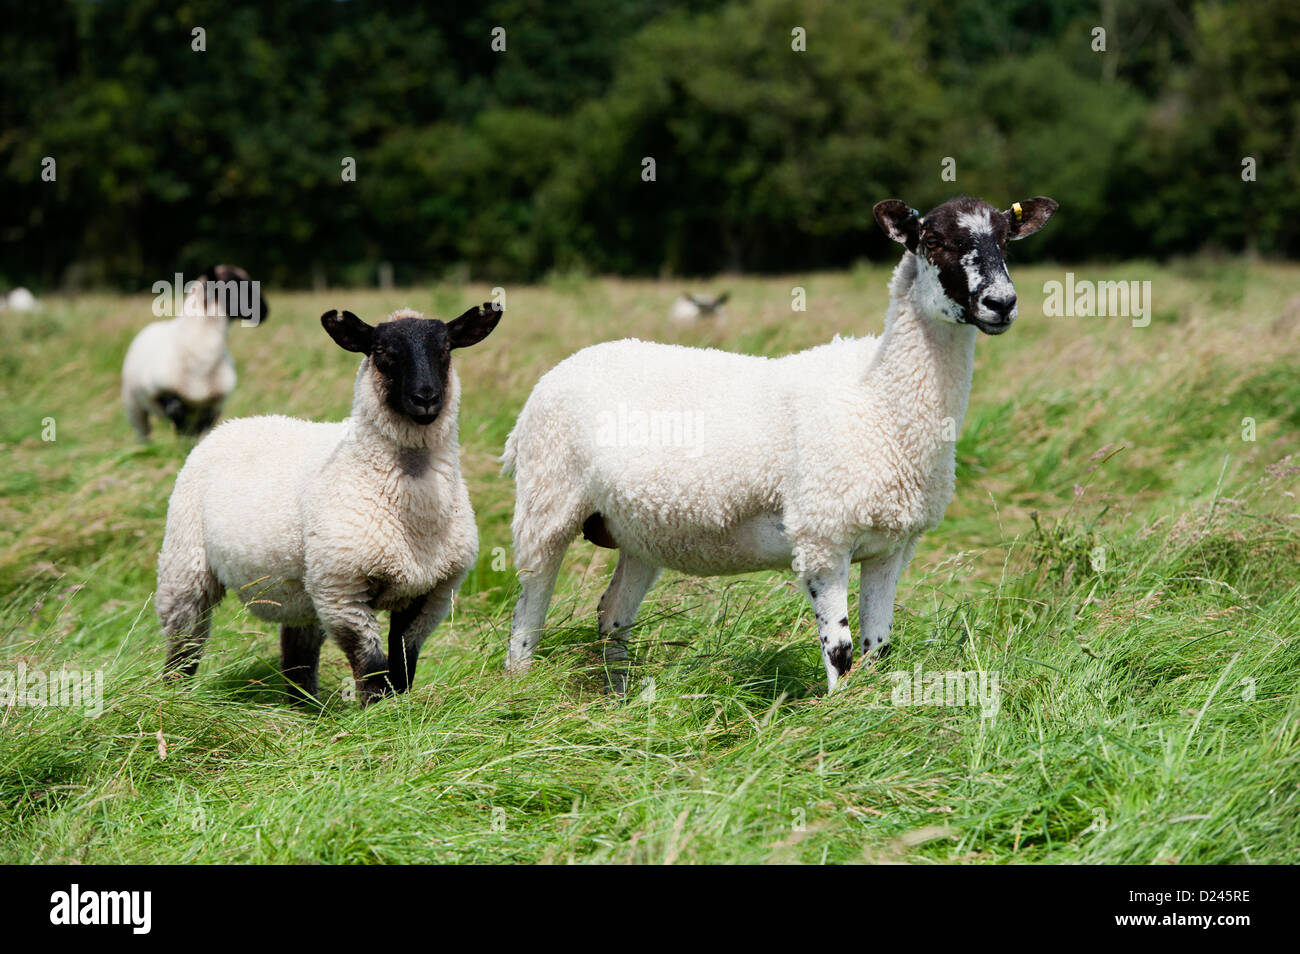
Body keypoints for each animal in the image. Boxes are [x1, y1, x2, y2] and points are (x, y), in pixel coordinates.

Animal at [121, 265, 269, 441]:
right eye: (236, 285)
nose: (265, 312)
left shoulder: (212, 407)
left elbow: (200, 432)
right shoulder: (163, 394)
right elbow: (178, 420)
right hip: (134, 404)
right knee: (143, 431)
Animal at [157, 302, 503, 705]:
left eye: (446, 348)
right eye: (380, 351)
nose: (426, 398)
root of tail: (237, 422)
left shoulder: (431, 594)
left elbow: (403, 665)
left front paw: (400, 710)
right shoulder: (342, 588)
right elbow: (372, 668)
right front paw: (376, 713)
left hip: (300, 594)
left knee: (298, 657)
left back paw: (303, 708)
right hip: (185, 564)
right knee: (184, 643)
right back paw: (172, 696)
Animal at [504, 195, 1057, 692]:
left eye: (1006, 240)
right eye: (934, 241)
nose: (1001, 304)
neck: (877, 396)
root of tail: (561, 368)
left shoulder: (892, 546)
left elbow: (879, 646)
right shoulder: (823, 537)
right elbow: (842, 652)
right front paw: (838, 721)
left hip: (640, 530)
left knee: (612, 614)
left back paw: (620, 698)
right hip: (548, 499)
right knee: (530, 606)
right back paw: (520, 685)